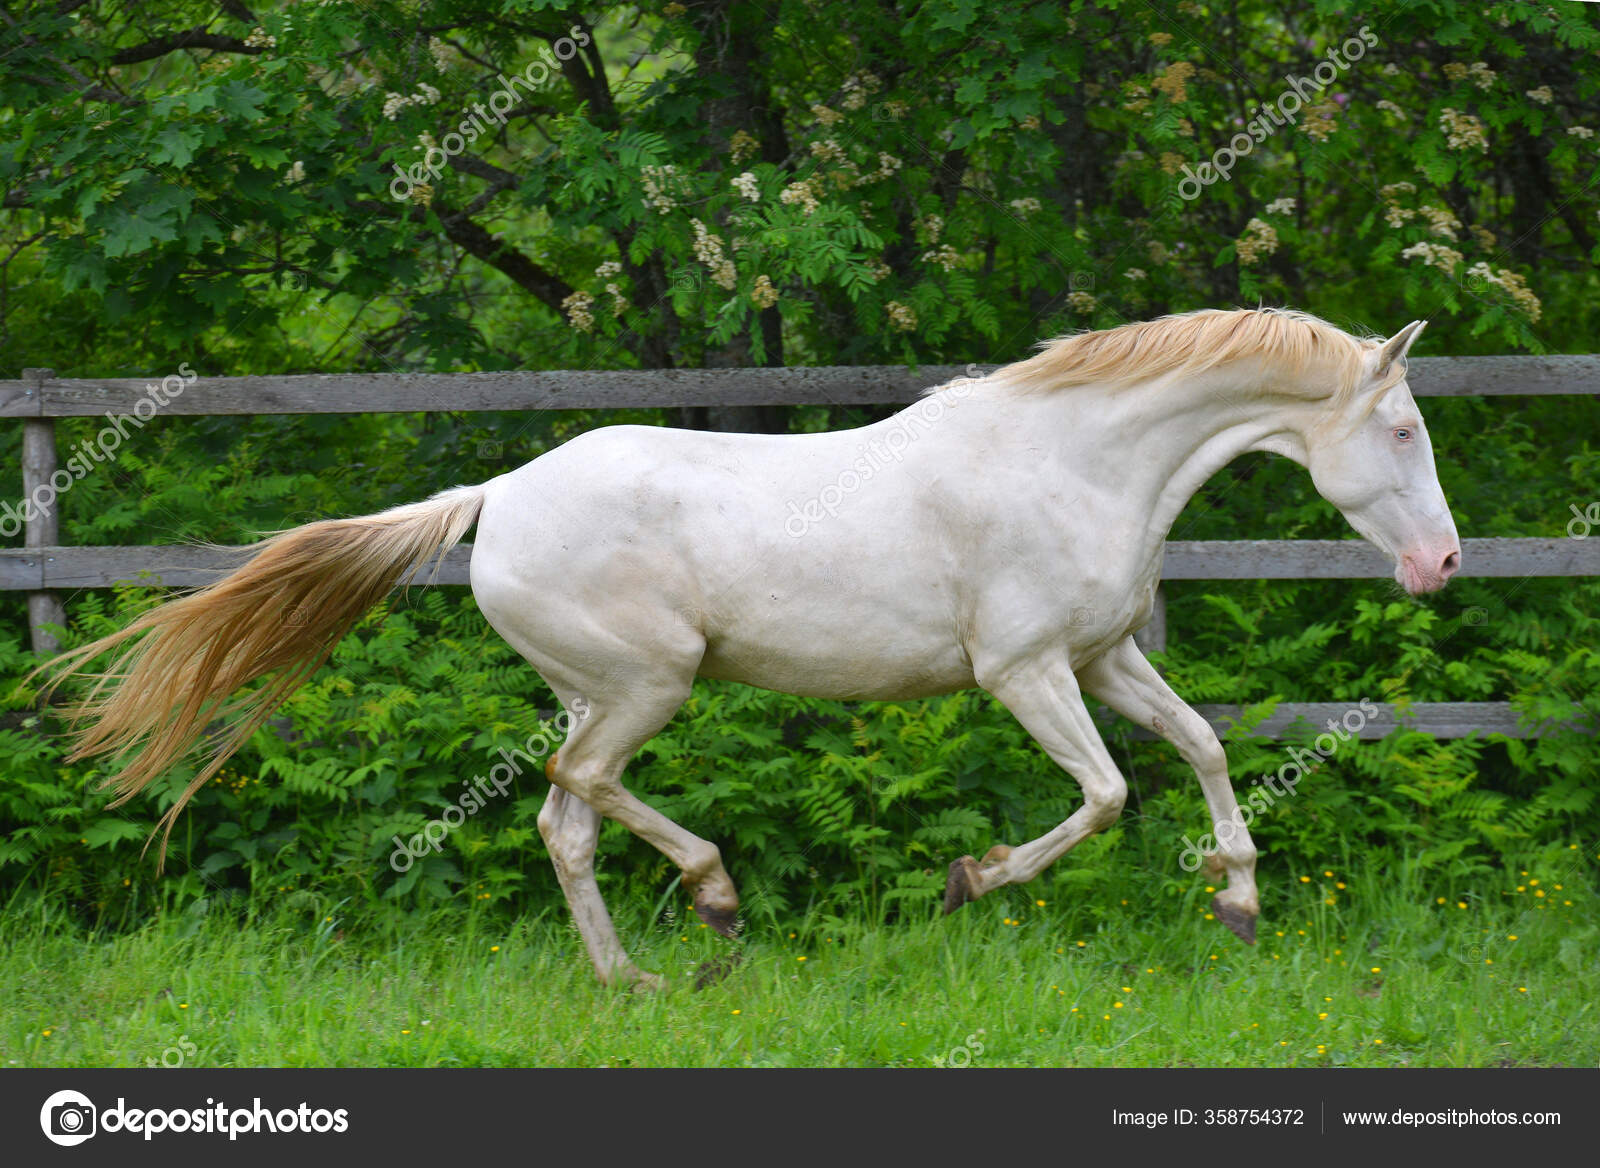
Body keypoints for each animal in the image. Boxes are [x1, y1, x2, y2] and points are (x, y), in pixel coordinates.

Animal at [33, 307, 1461, 989]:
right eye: (1401, 430)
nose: (1443, 566)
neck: (1071, 461)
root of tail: (499, 494)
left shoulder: (1104, 657)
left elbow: (1206, 746)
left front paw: (1237, 904)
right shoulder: (1023, 672)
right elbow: (1106, 794)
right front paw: (967, 881)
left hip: (594, 693)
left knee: (563, 823)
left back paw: (636, 980)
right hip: (642, 683)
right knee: (577, 791)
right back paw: (713, 898)